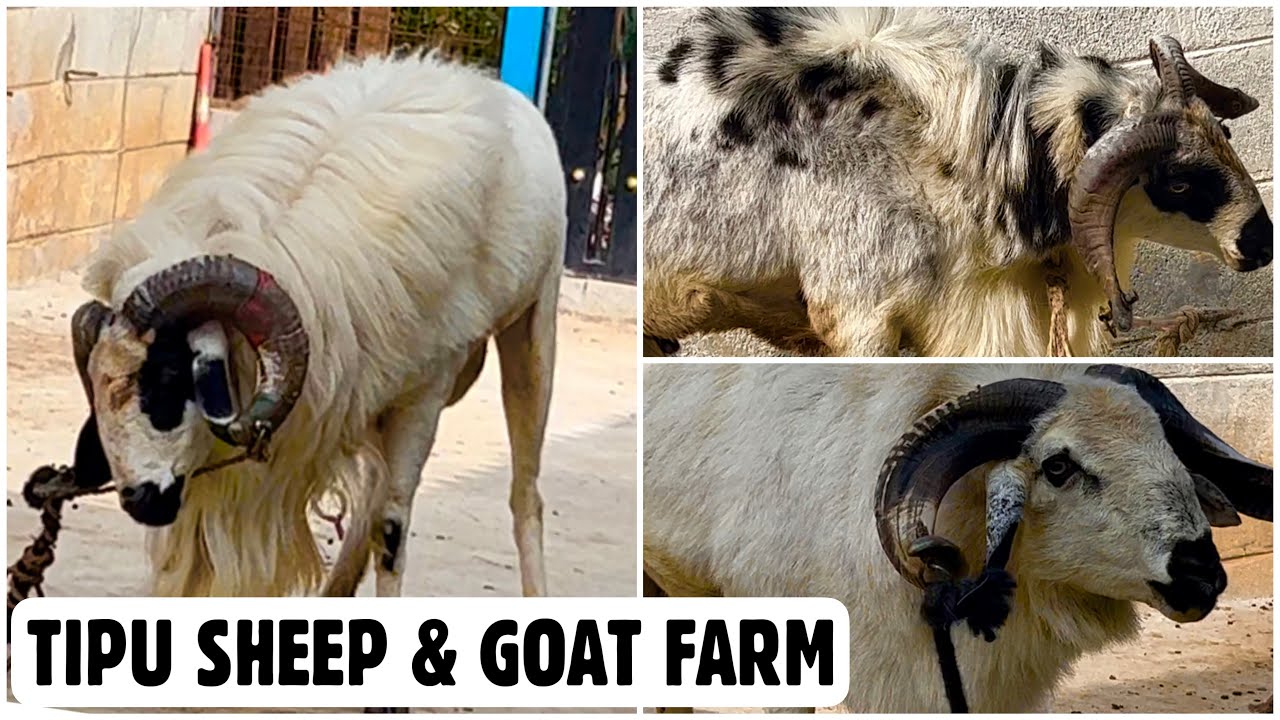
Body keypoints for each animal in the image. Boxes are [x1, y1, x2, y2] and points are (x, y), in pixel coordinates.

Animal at [63, 48, 567, 599]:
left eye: (171, 375)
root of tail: (491, 84)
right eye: (95, 382)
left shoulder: (424, 393)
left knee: (524, 495)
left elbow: (391, 532)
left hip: (533, 328)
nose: (138, 500)